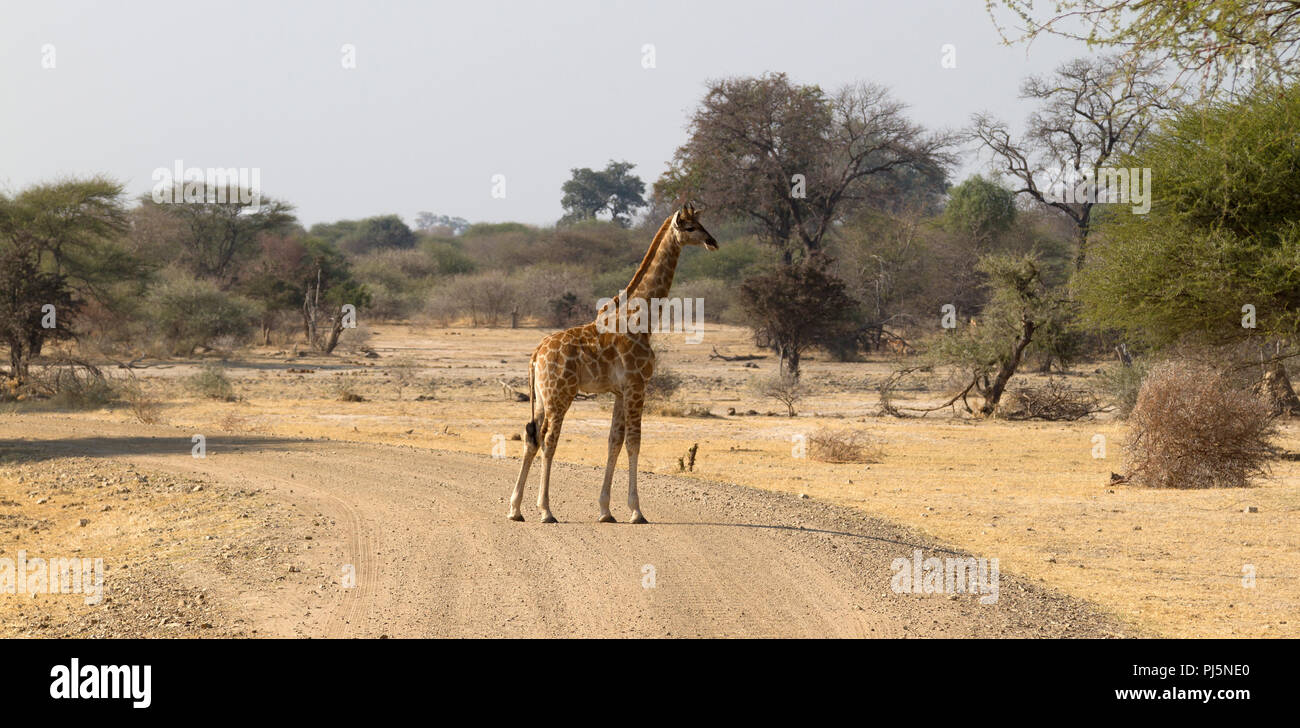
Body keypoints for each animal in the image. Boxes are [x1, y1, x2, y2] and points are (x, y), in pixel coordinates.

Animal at [507, 204, 718, 523]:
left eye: (703, 223)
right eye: (691, 227)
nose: (712, 242)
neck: (641, 320)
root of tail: (535, 355)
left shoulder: (620, 391)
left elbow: (614, 442)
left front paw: (606, 510)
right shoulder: (637, 385)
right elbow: (634, 442)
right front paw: (636, 511)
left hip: (541, 397)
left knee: (531, 437)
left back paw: (515, 509)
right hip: (560, 394)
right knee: (548, 440)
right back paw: (545, 510)